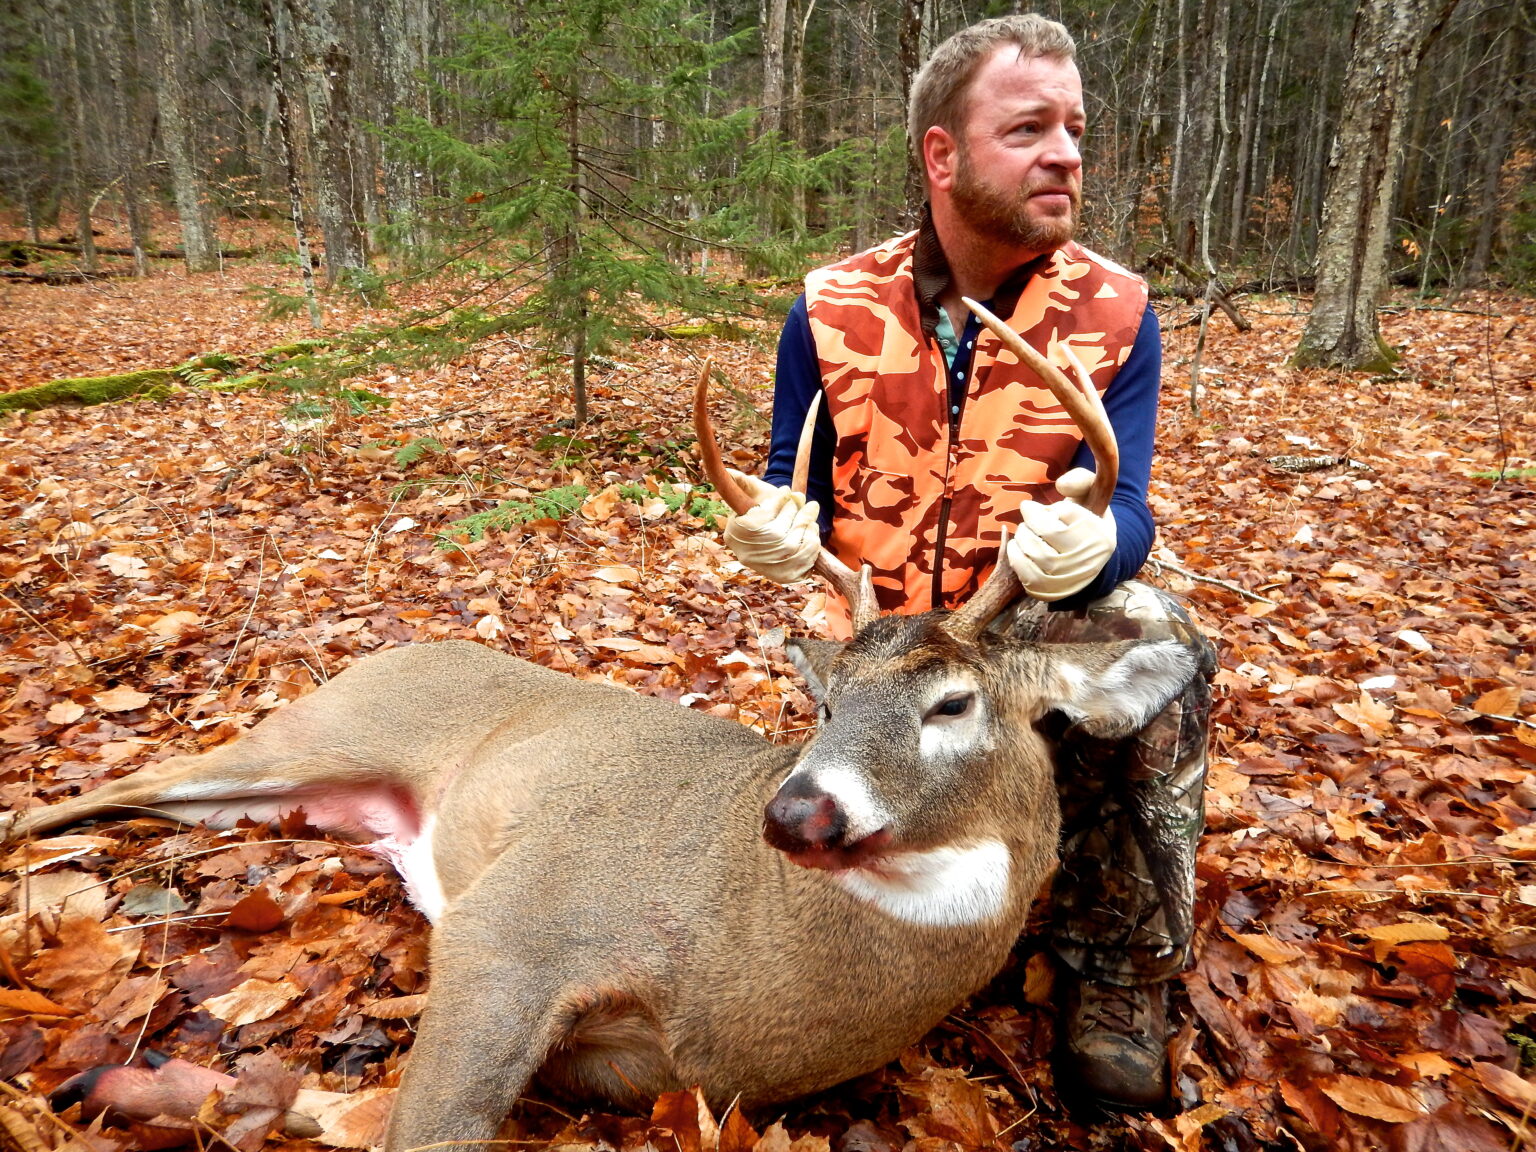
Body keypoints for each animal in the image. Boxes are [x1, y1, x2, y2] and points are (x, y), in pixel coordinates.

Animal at [4, 301, 1199, 1152]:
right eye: (822, 703)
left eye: (952, 702)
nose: (796, 813)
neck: (747, 953)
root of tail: (396, 646)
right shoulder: (513, 925)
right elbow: (425, 1130)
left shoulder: (627, 1070)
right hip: (322, 729)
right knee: (119, 783)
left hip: (305, 798)